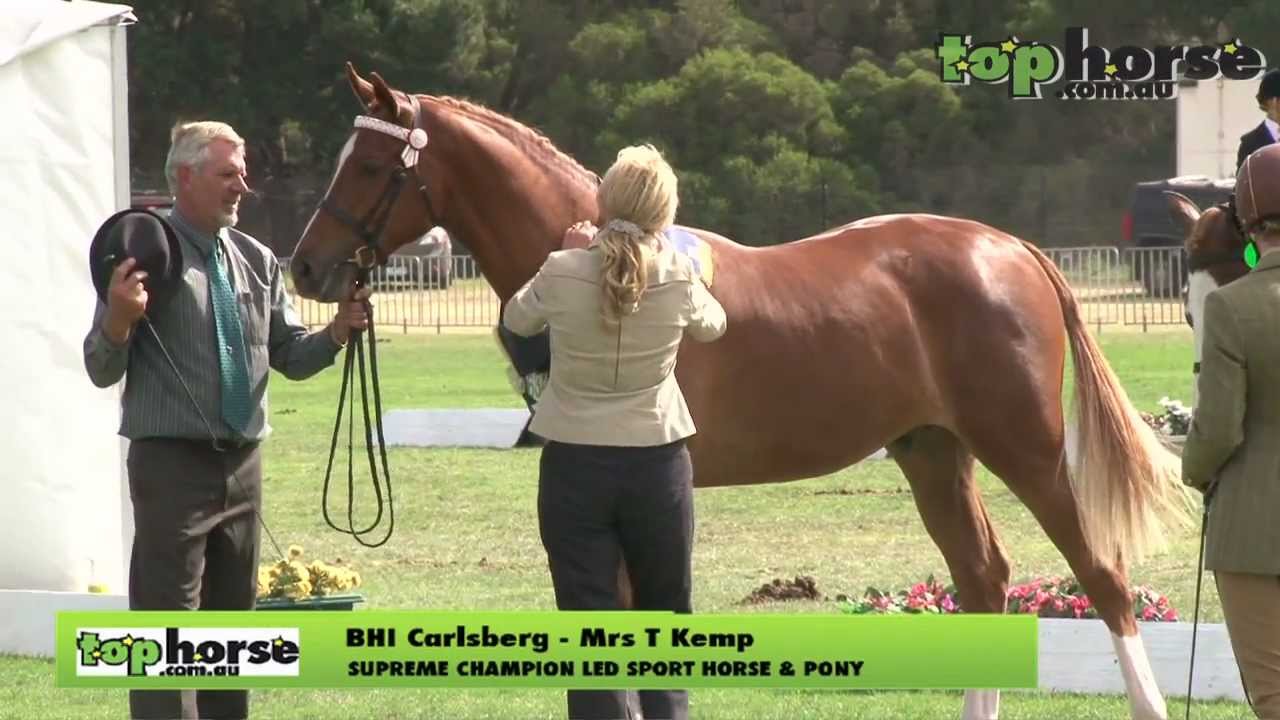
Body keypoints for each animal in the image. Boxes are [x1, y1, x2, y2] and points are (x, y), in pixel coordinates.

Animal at [289, 63, 1194, 720]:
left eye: (371, 164)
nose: (306, 268)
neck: (609, 254)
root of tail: (1012, 248)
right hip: (934, 454)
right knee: (983, 579)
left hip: (1026, 448)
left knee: (1102, 576)